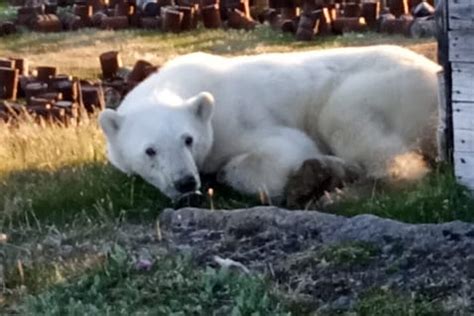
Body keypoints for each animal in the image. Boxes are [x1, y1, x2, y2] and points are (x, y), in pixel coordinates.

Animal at [99, 45, 440, 200]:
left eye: (188, 139)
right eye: (150, 150)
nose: (185, 182)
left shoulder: (235, 120)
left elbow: (285, 148)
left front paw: (225, 174)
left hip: (380, 87)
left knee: (349, 123)